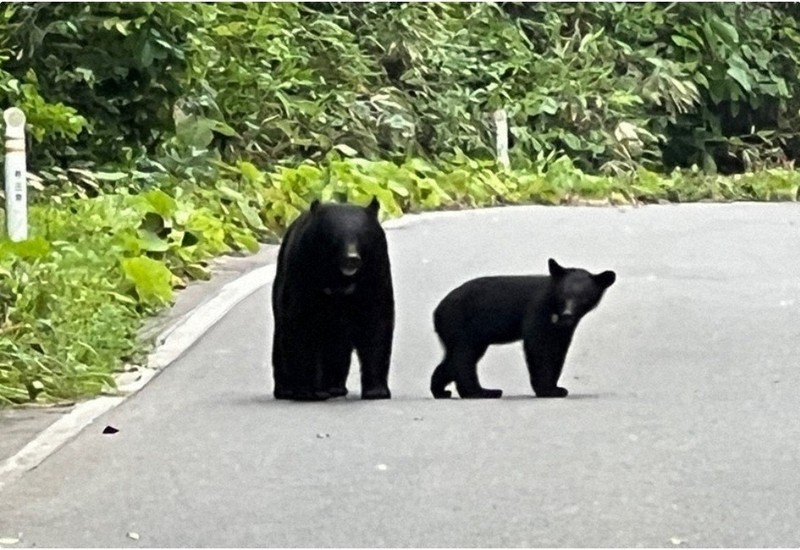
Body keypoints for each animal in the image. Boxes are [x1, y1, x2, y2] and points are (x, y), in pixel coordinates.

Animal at [271, 197, 395, 401]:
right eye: (335, 237)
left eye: (363, 236)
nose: (351, 258)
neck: (339, 278)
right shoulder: (302, 271)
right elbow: (301, 324)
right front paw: (308, 391)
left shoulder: (376, 272)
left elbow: (376, 323)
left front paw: (377, 391)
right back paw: (288, 389)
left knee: (337, 347)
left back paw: (335, 387)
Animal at [430, 258, 616, 399]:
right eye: (564, 295)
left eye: (584, 297)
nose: (568, 314)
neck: (554, 307)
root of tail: (437, 310)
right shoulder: (537, 312)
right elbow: (540, 348)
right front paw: (548, 390)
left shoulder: (563, 329)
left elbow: (558, 350)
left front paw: (555, 387)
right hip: (462, 325)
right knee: (464, 357)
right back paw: (481, 392)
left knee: (454, 359)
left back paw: (441, 391)